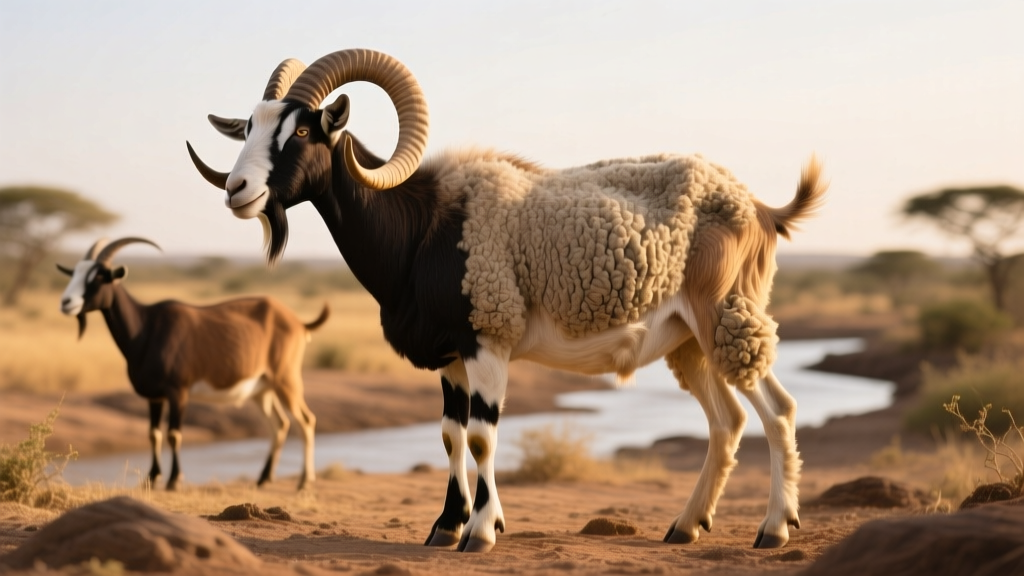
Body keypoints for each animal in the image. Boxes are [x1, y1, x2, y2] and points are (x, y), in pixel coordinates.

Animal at [57, 237, 328, 490]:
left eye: (98, 276)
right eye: (75, 272)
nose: (66, 302)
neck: (147, 328)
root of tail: (298, 322)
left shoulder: (178, 393)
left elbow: (174, 434)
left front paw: (173, 480)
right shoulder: (155, 397)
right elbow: (153, 434)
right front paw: (151, 478)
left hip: (286, 382)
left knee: (306, 420)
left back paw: (304, 481)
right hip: (262, 392)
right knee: (280, 424)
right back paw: (264, 479)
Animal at [187, 49, 827, 551]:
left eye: (300, 131)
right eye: (249, 127)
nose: (237, 191)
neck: (422, 226)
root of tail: (760, 207)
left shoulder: (487, 342)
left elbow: (480, 434)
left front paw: (481, 532)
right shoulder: (450, 357)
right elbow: (450, 433)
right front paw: (446, 527)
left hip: (727, 318)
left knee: (777, 410)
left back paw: (773, 529)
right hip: (690, 342)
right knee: (728, 422)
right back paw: (686, 526)